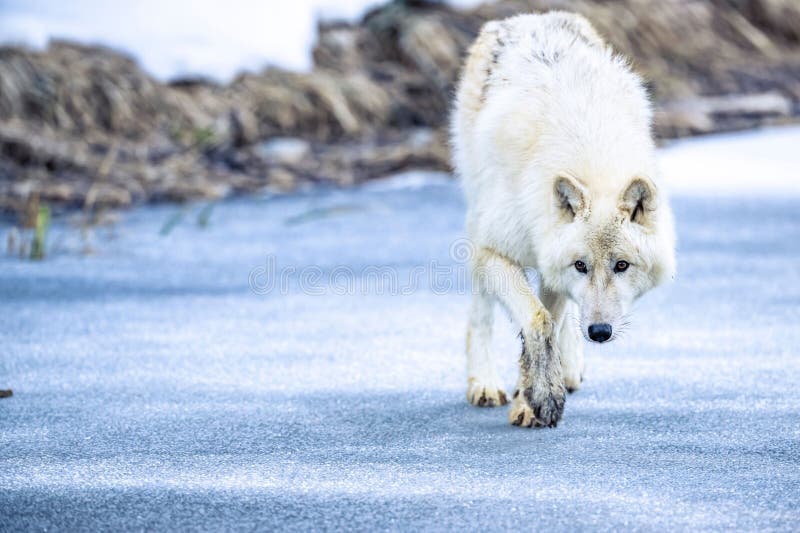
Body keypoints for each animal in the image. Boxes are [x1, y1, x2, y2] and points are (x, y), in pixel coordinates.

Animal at [450, 12, 676, 428]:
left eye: (622, 265)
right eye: (581, 266)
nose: (600, 331)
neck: (587, 152)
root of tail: (526, 17)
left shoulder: (551, 265)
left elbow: (550, 322)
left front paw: (529, 399)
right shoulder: (496, 250)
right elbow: (537, 319)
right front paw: (542, 396)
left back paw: (569, 368)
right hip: (477, 224)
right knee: (480, 313)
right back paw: (484, 383)